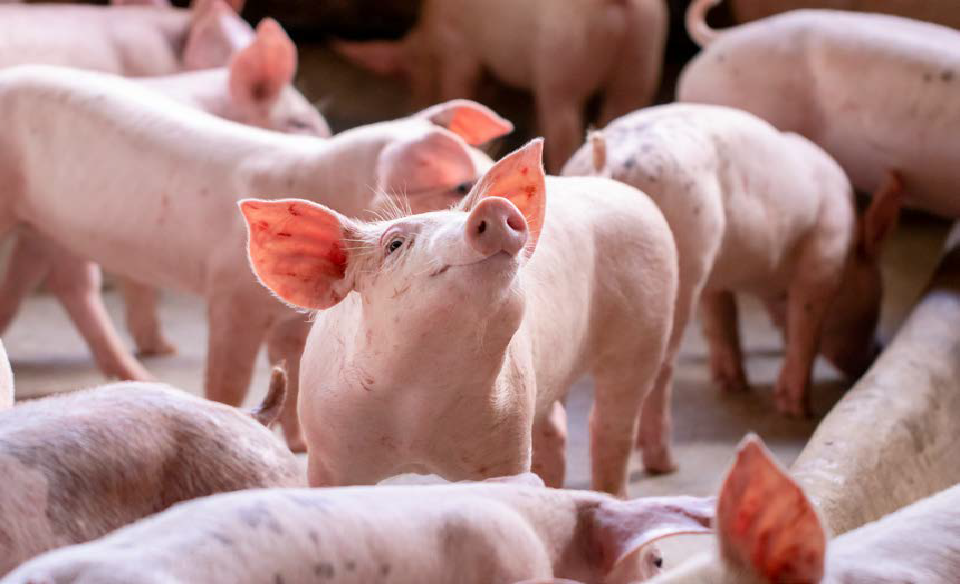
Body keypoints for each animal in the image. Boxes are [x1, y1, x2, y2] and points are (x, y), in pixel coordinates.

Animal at [0, 17, 330, 377]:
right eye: (299, 122)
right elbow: (137, 281)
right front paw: (163, 349)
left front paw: (163, 349)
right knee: (70, 283)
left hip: (47, 216)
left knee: (59, 281)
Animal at [0, 64, 513, 451]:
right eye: (460, 185)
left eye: (485, 167)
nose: (506, 210)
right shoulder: (231, 293)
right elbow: (229, 374)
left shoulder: (295, 317)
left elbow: (296, 369)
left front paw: (302, 445)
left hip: (49, 228)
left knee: (65, 284)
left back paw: (139, 370)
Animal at [240, 139, 679, 495]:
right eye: (394, 244)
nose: (494, 207)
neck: (416, 409)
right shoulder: (328, 453)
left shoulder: (507, 436)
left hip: (648, 324)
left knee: (611, 426)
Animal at [334, 0, 668, 172]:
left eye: (409, 71)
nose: (414, 103)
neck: (428, 38)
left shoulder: (458, 50)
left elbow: (460, 87)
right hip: (645, 48)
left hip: (563, 55)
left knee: (563, 126)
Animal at [563, 104, 901, 422]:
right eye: (876, 299)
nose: (877, 350)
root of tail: (604, 158)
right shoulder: (824, 256)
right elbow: (805, 326)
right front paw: (798, 410)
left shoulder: (717, 275)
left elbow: (722, 316)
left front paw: (732, 384)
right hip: (684, 254)